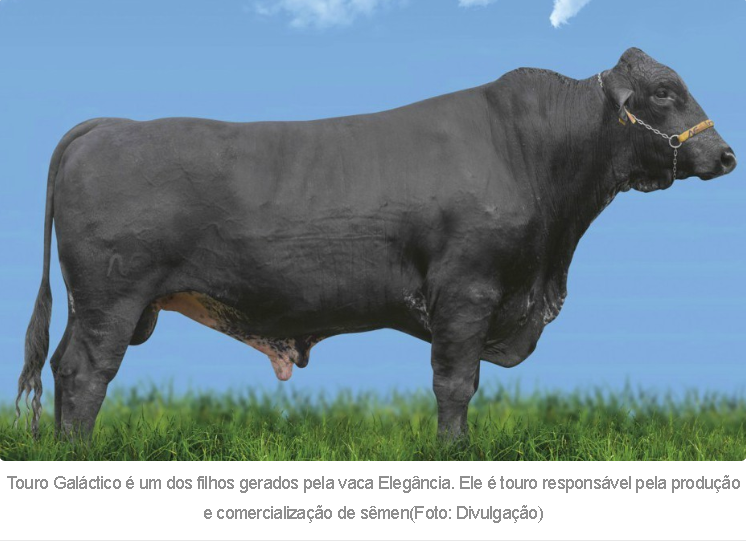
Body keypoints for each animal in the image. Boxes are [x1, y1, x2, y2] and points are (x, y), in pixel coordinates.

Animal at [17, 47, 736, 439]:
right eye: (664, 92)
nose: (726, 155)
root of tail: (111, 124)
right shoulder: (465, 293)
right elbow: (456, 384)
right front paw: (454, 451)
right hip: (112, 298)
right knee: (85, 373)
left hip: (99, 303)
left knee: (62, 367)